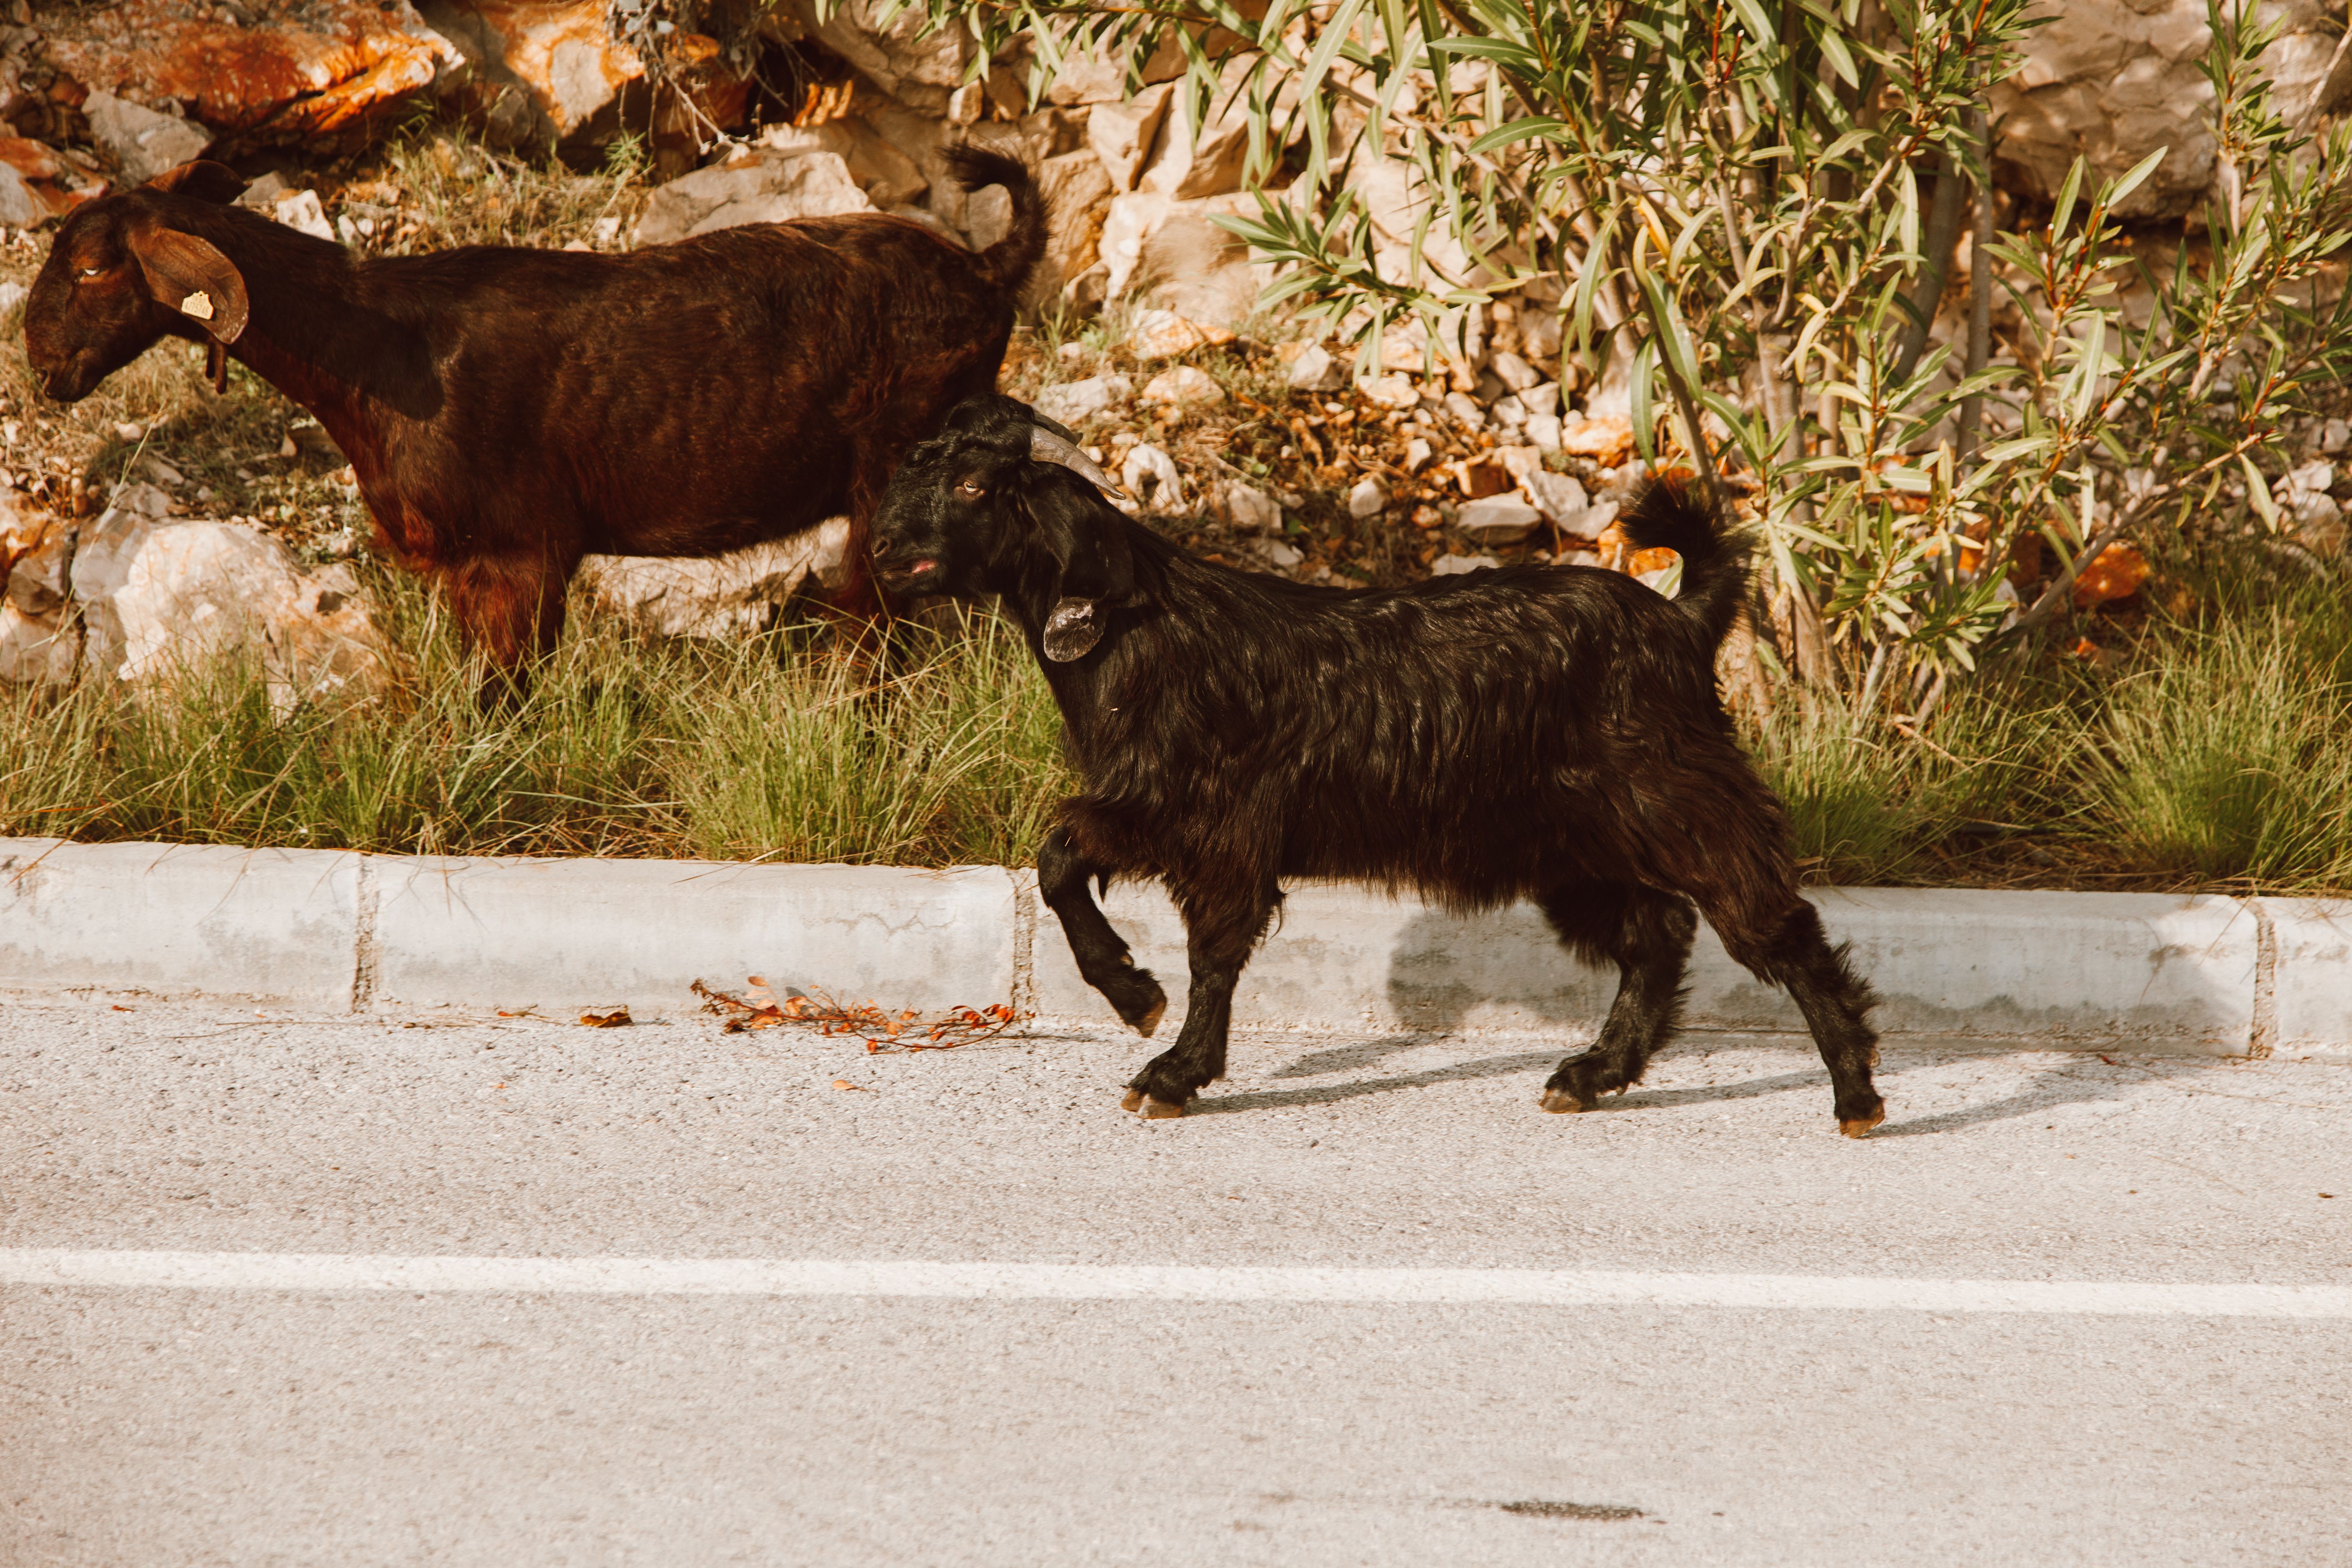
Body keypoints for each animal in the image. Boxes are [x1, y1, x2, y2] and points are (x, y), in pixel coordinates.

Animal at [23, 152, 1045, 687]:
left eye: (94, 267)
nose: (41, 364)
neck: (374, 351)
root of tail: (987, 269)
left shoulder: (521, 548)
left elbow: (503, 695)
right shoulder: (467, 565)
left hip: (895, 481)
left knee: (876, 632)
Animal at [869, 393, 1885, 1136]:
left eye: (974, 485)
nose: (881, 546)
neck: (1140, 629)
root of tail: (1681, 620)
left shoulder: (1211, 823)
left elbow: (1190, 939)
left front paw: (1159, 1046)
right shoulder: (1164, 813)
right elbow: (1066, 863)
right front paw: (1139, 1005)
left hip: (1680, 800)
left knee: (1773, 925)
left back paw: (1857, 1095)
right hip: (1573, 845)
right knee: (1657, 933)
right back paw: (1593, 1073)